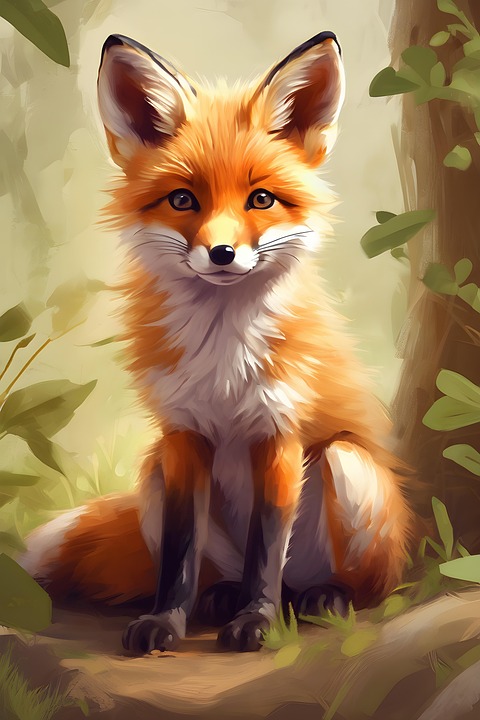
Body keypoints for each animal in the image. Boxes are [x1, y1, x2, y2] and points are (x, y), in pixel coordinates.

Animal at [20, 31, 412, 654]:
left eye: (261, 199)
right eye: (183, 200)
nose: (222, 254)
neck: (222, 358)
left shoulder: (279, 435)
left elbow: (265, 551)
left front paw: (257, 623)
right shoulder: (183, 437)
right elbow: (180, 557)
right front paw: (166, 622)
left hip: (349, 467)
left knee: (346, 584)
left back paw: (323, 599)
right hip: (154, 470)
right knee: (220, 572)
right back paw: (224, 597)